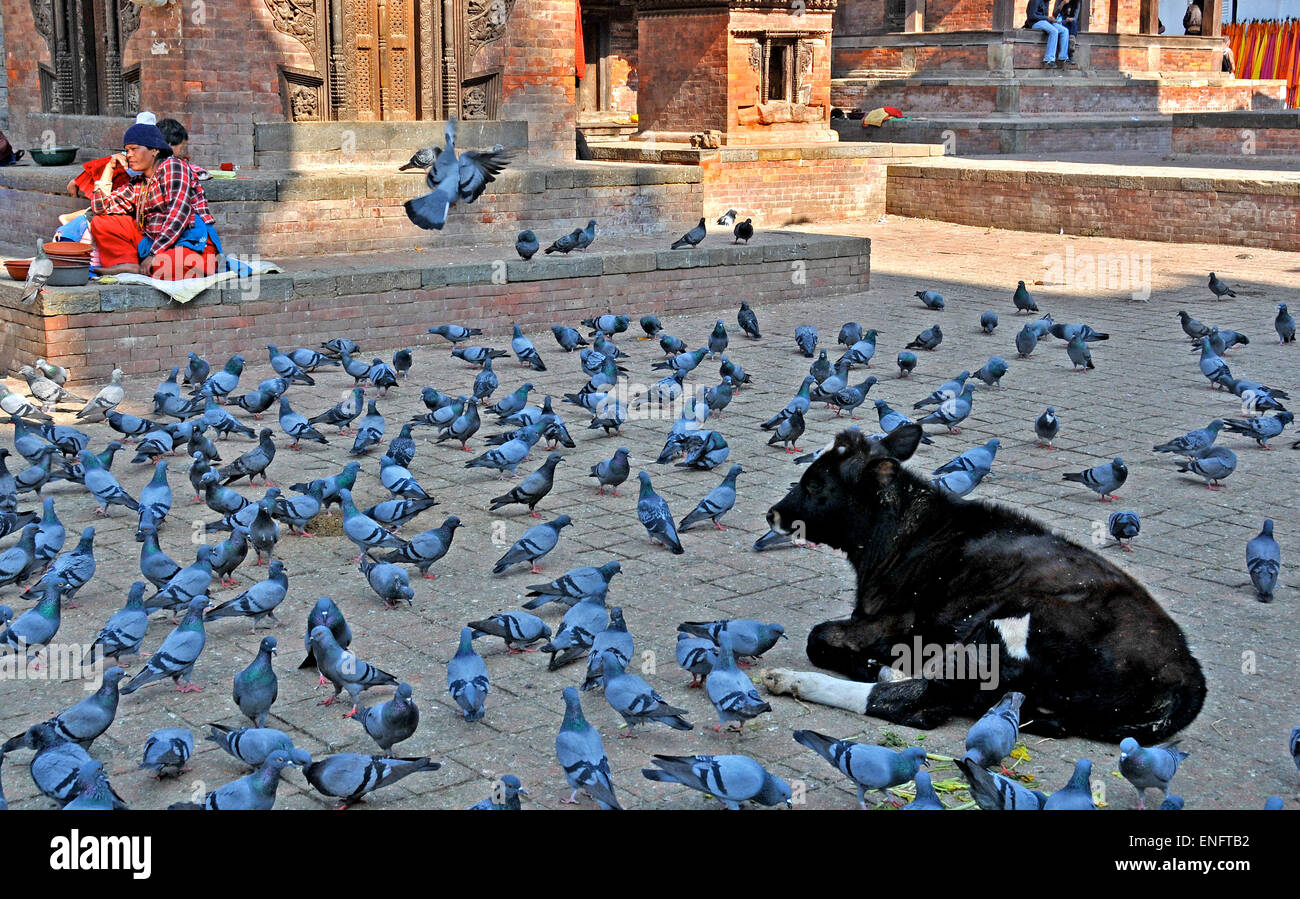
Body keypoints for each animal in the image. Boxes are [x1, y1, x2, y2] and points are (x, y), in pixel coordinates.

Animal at [764, 424, 1206, 743]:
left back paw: (795, 679)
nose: (772, 513)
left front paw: (867, 660)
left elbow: (818, 637)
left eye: (815, 484)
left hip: (999, 632)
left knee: (920, 703)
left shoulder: (898, 621)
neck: (905, 534)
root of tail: (1186, 674)